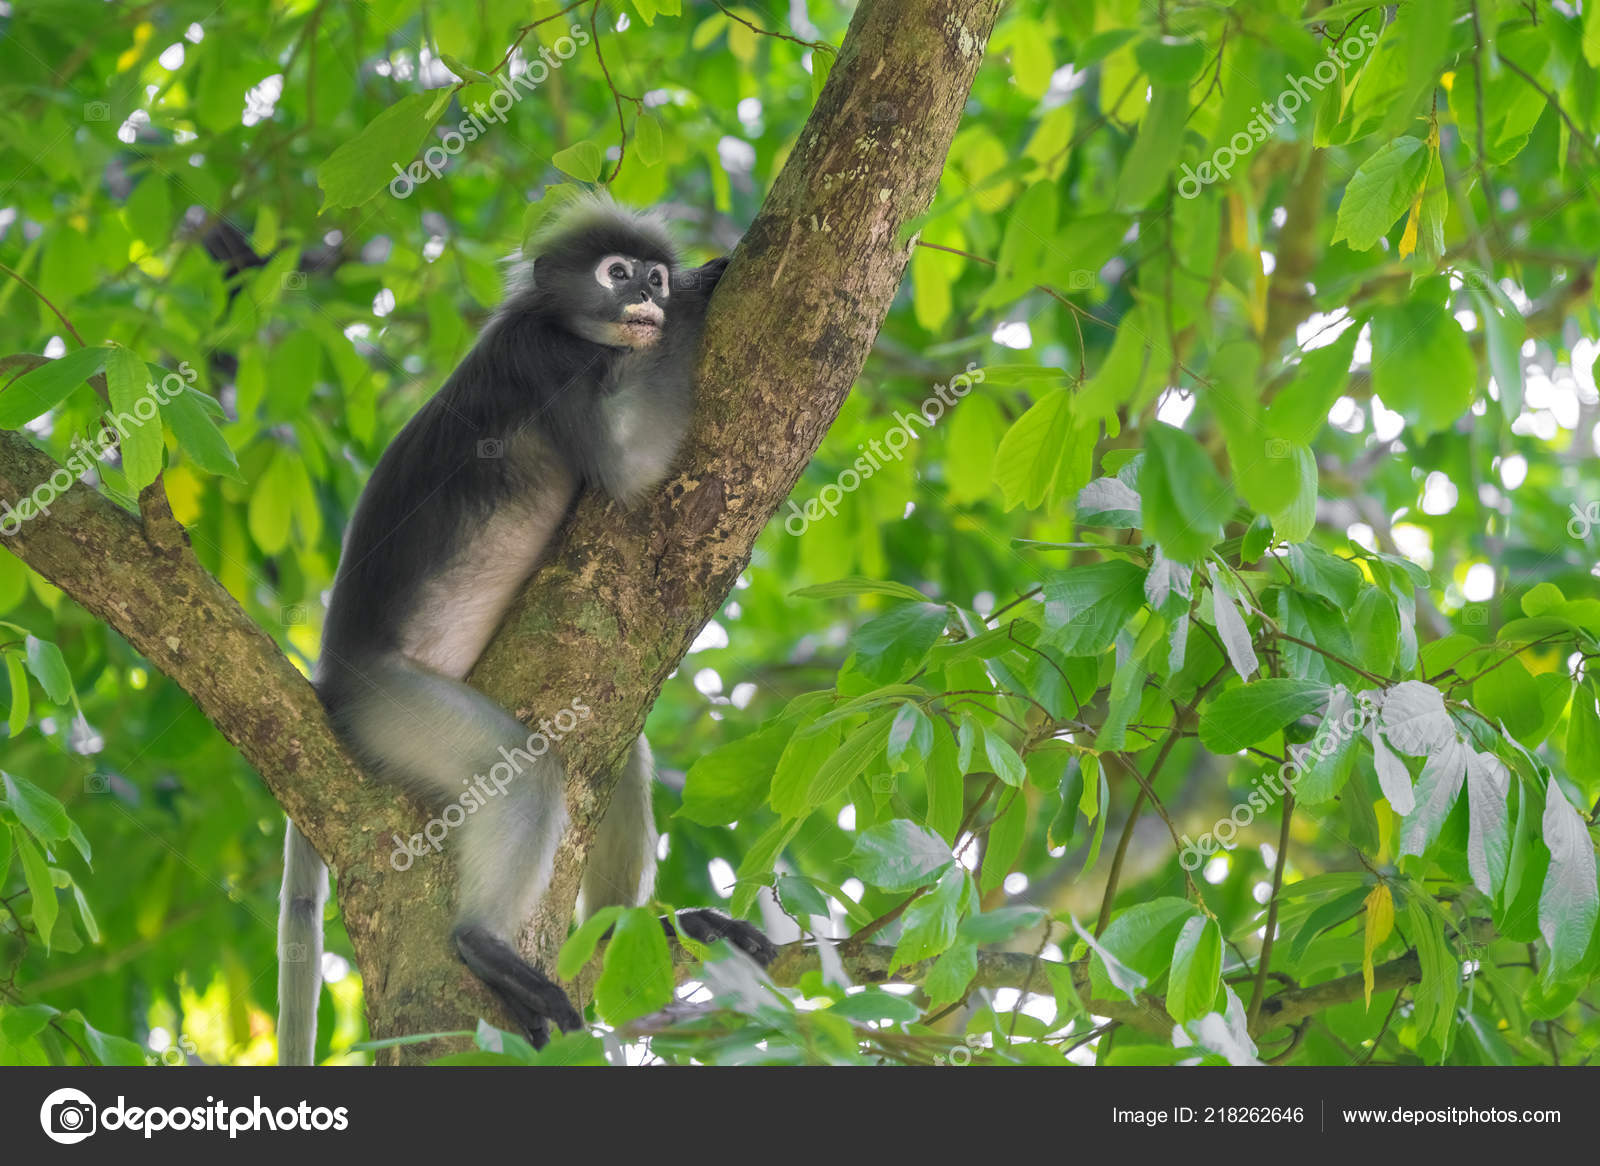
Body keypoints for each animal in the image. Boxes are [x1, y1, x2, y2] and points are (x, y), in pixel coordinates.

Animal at [276, 193, 776, 1066]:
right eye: (620, 272)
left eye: (649, 273)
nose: (650, 293)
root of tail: (331, 678)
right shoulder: (548, 360)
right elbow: (632, 468)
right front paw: (700, 297)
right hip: (391, 709)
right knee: (525, 768)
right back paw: (484, 943)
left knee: (617, 758)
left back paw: (627, 933)